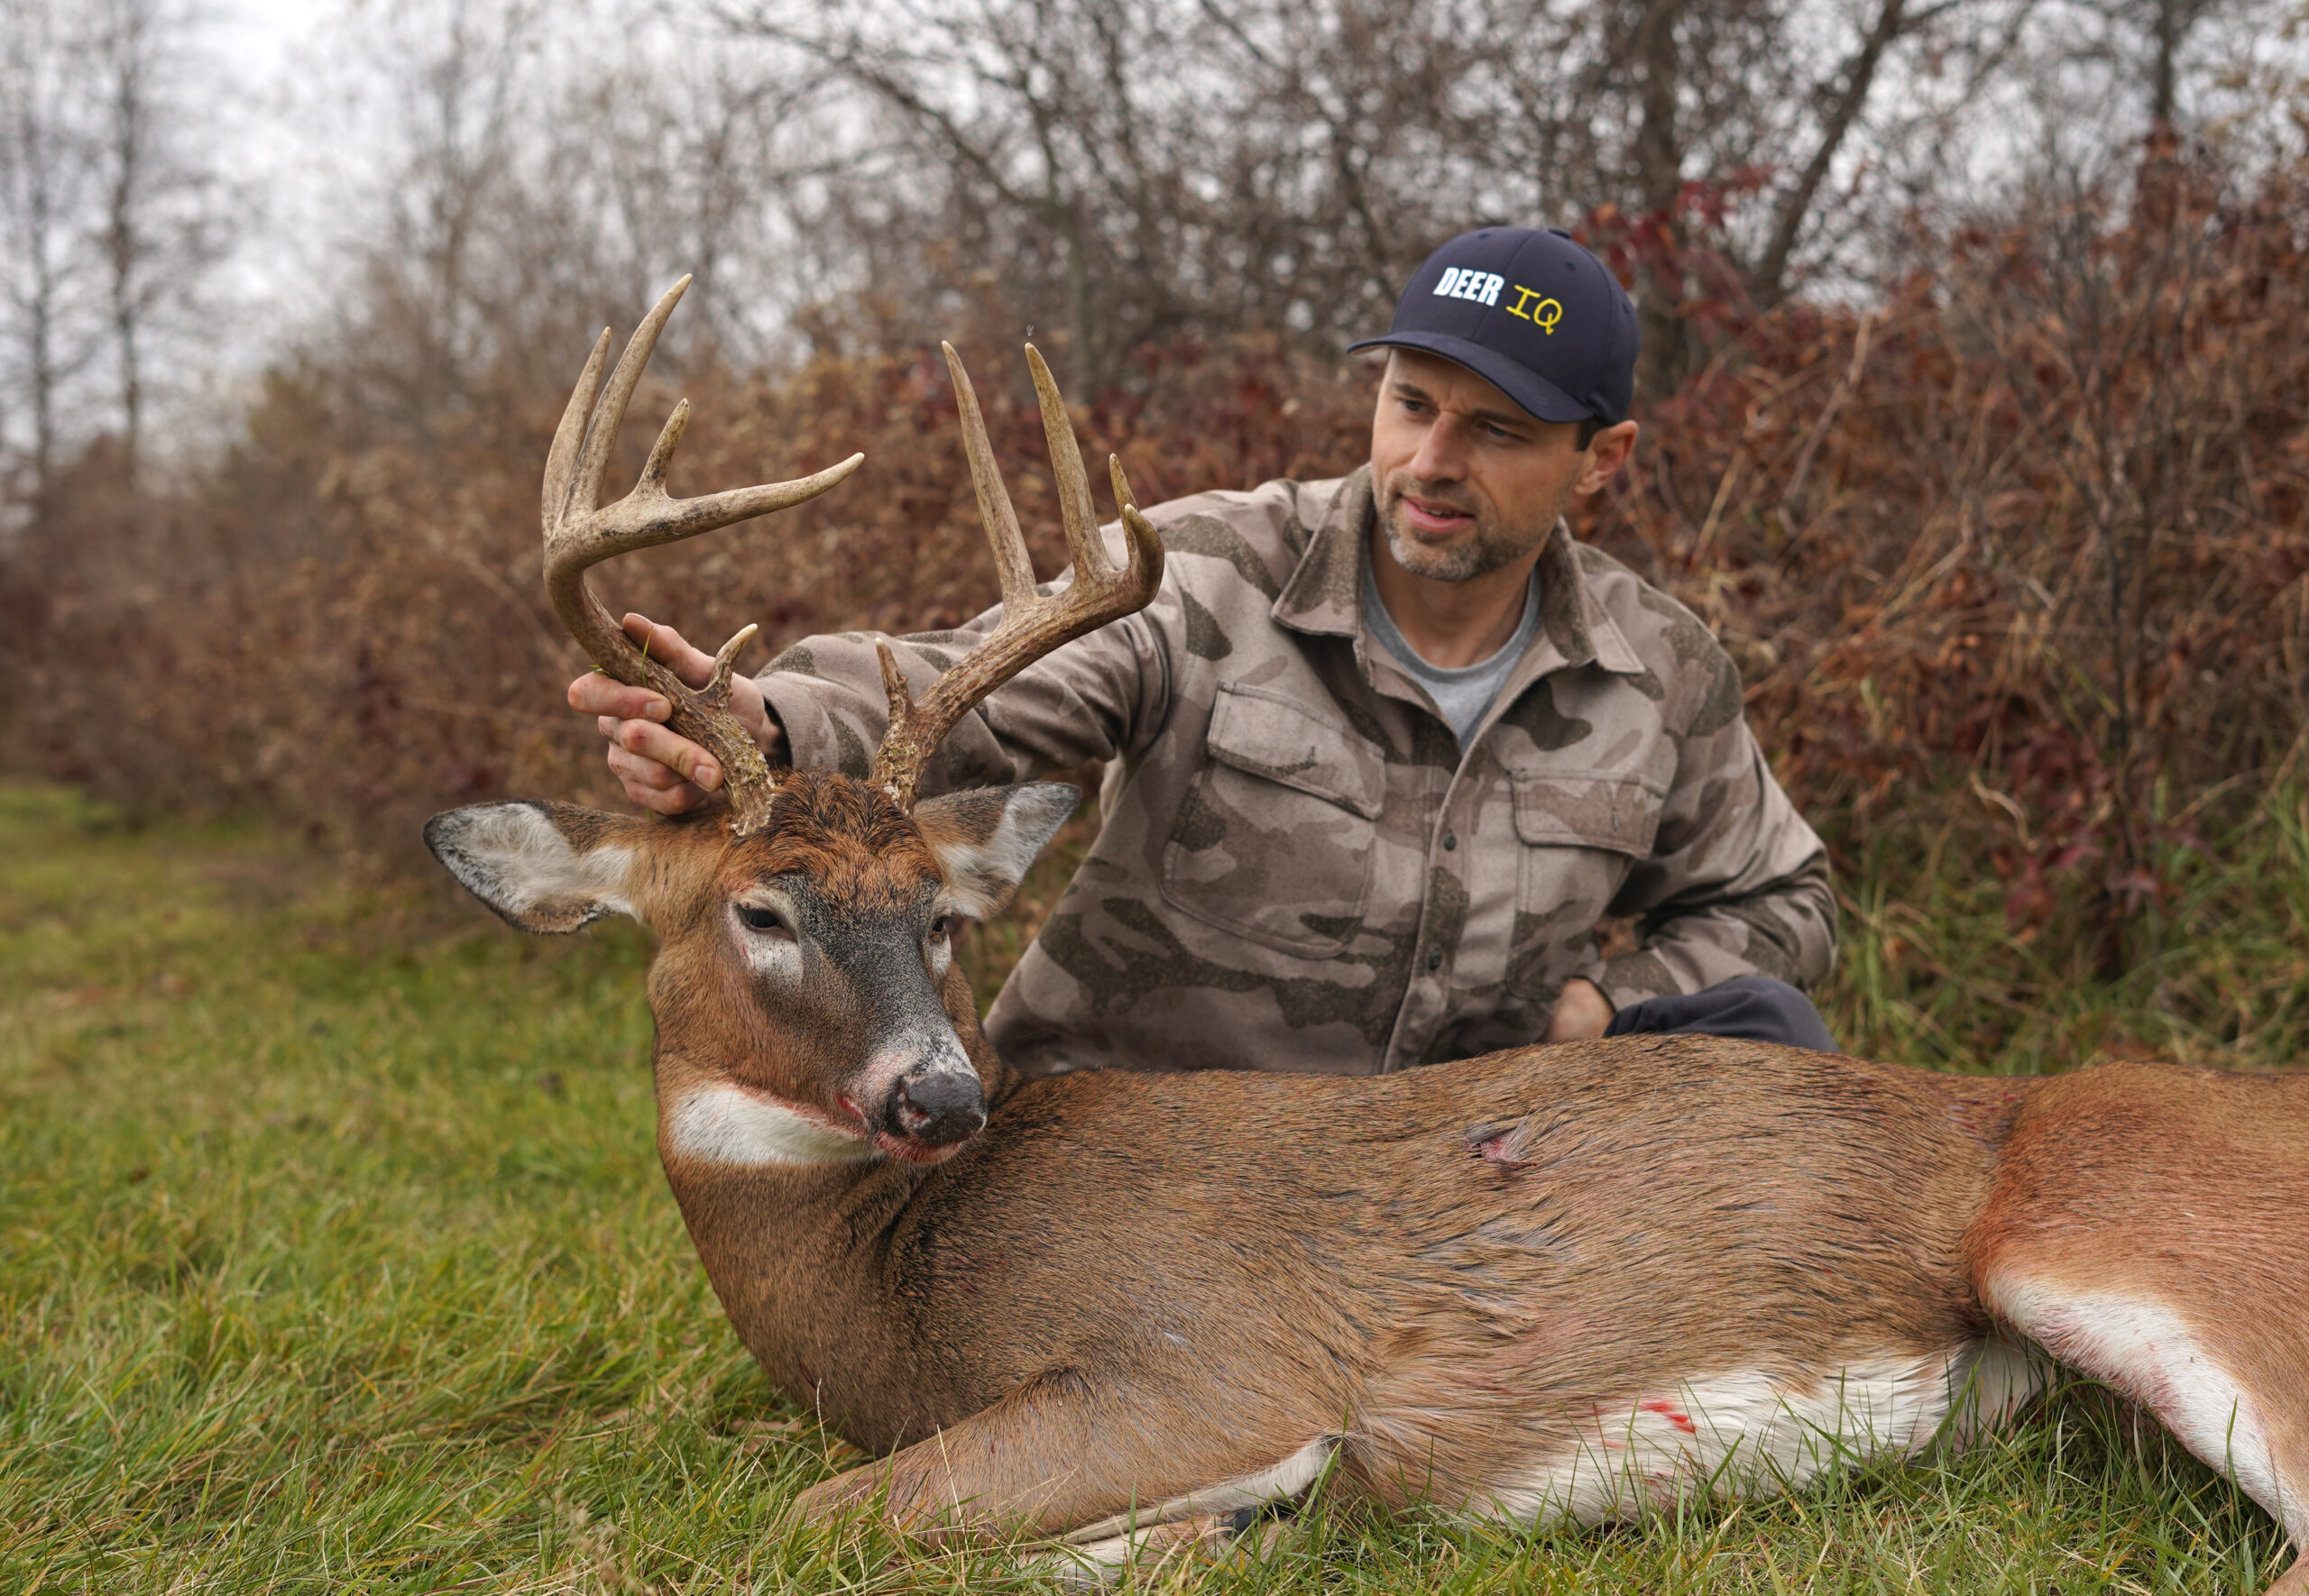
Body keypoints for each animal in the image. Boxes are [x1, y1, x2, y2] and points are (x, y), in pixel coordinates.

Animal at [424, 278, 2309, 1591]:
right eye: (760, 907)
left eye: (944, 916)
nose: (937, 1097)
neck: (890, 1286)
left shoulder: (1197, 1361)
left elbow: (822, 1517)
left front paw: (1229, 1525)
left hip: (2138, 1246)